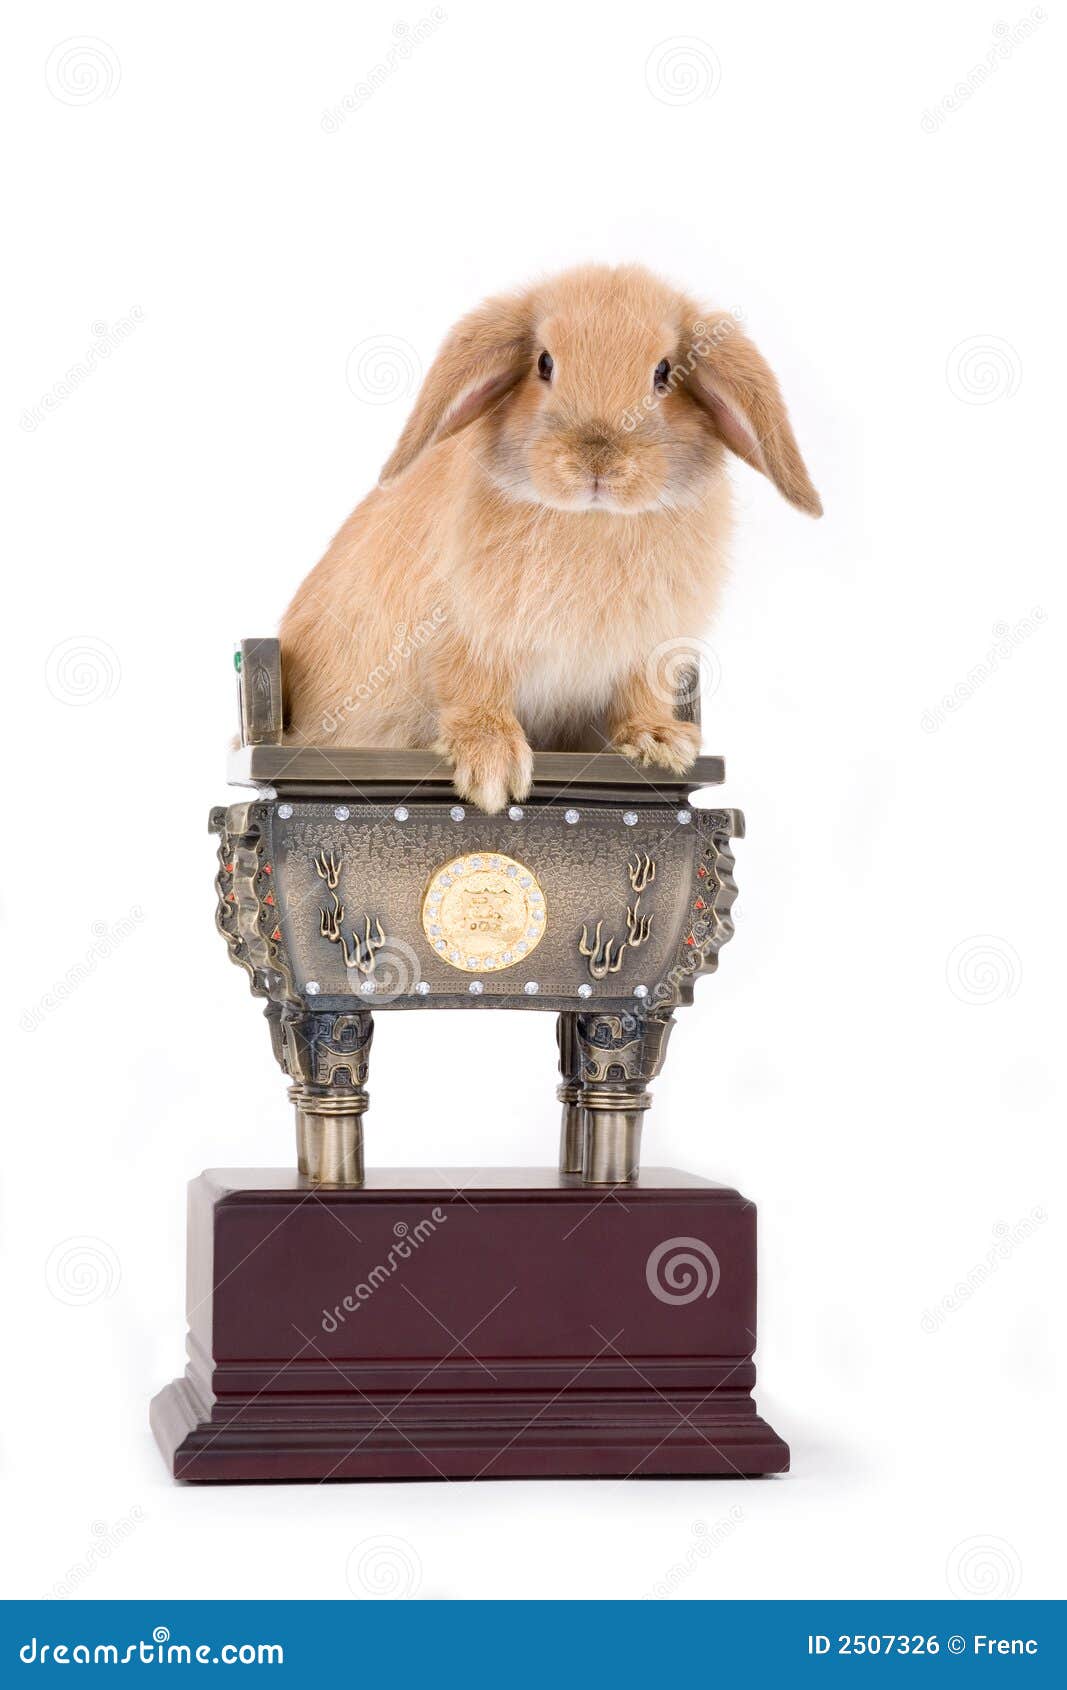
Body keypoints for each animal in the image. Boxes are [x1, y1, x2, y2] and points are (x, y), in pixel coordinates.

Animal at [279, 263, 821, 813]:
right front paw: (492, 764)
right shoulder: (463, 634)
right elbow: (472, 689)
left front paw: (658, 740)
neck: (591, 518)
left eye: (665, 372)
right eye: (544, 363)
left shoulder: (648, 652)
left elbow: (641, 695)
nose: (597, 460)